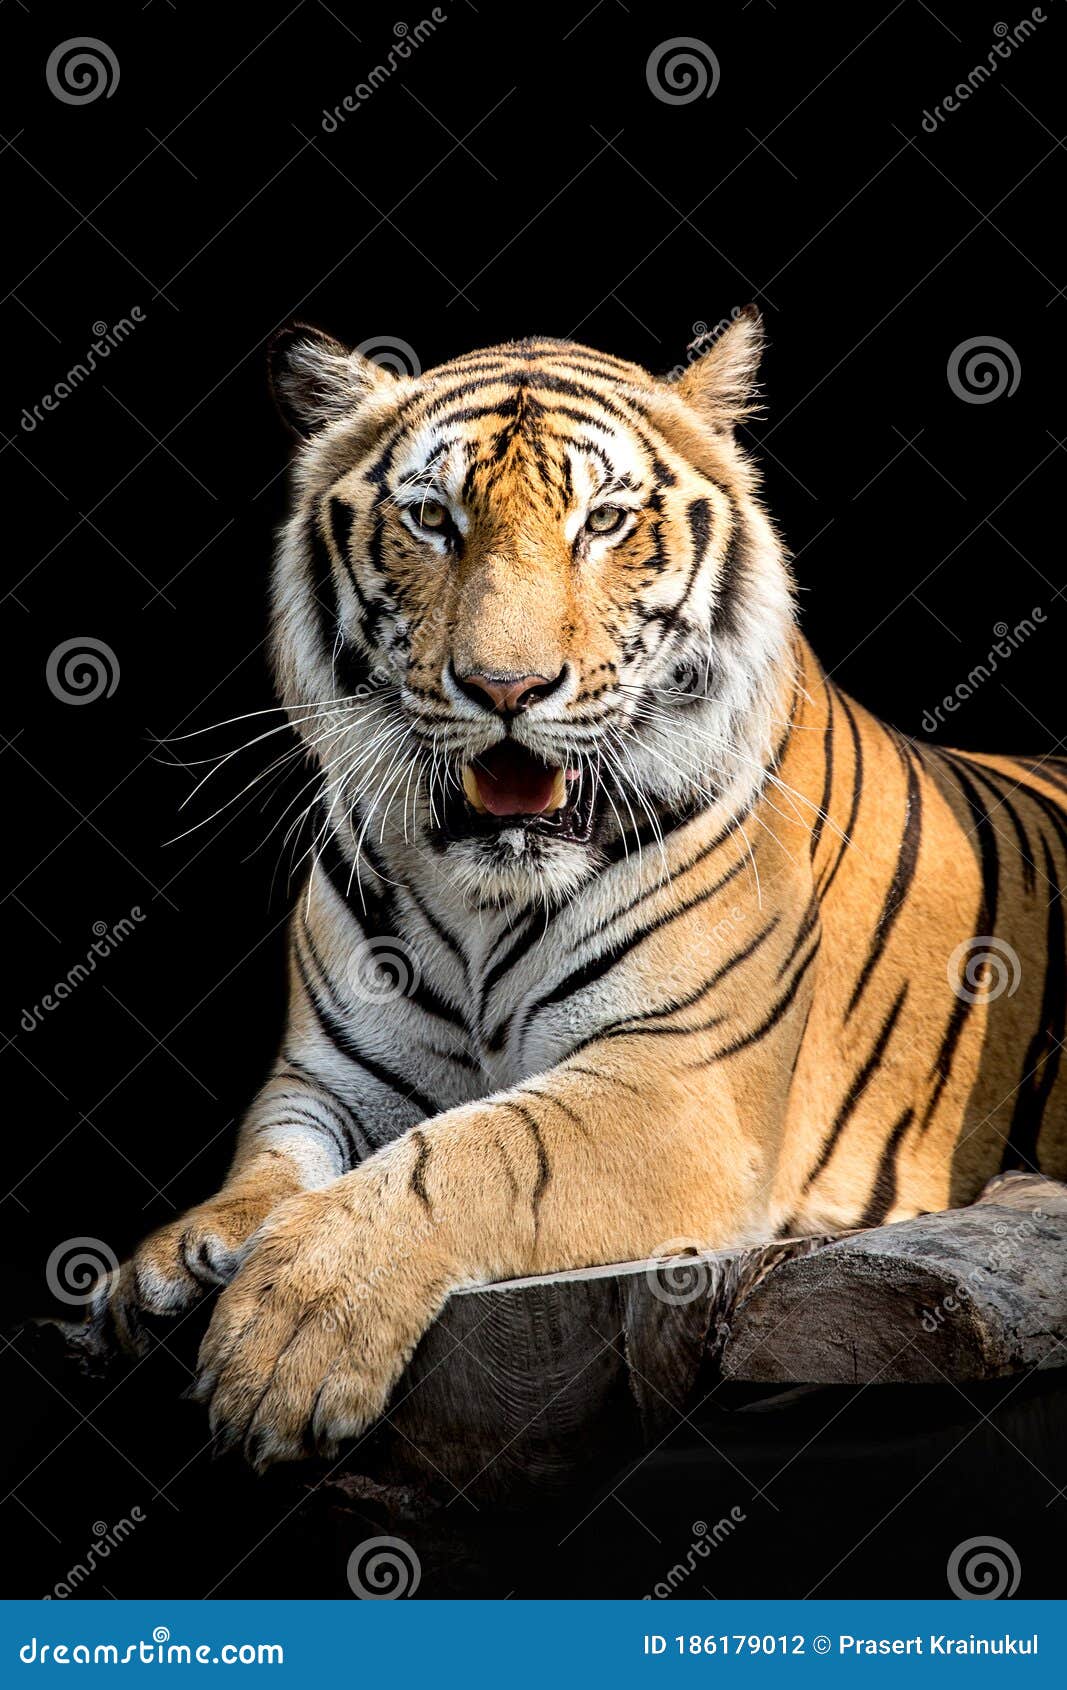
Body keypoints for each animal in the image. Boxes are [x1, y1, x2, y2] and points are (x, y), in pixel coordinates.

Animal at [95, 309, 1067, 1470]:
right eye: (432, 519)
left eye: (601, 522)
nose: (505, 688)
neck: (480, 898)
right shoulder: (332, 1074)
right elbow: (277, 1161)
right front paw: (179, 1258)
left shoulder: (679, 1083)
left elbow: (474, 1153)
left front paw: (290, 1333)